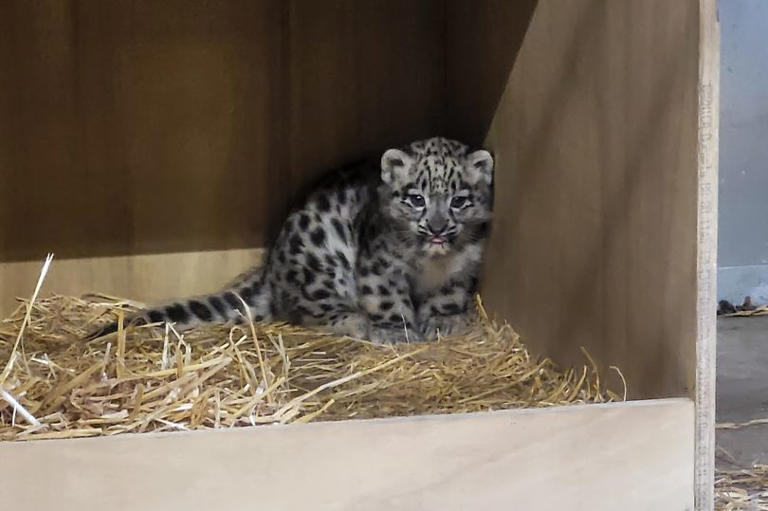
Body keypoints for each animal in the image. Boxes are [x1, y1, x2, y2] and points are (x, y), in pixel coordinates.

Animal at [90, 136, 494, 343]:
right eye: (416, 198)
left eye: (459, 200)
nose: (437, 229)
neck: (432, 263)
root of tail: (271, 271)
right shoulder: (381, 266)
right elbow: (388, 301)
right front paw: (397, 331)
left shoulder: (463, 267)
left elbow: (447, 297)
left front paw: (443, 322)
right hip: (323, 266)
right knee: (310, 311)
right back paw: (354, 321)